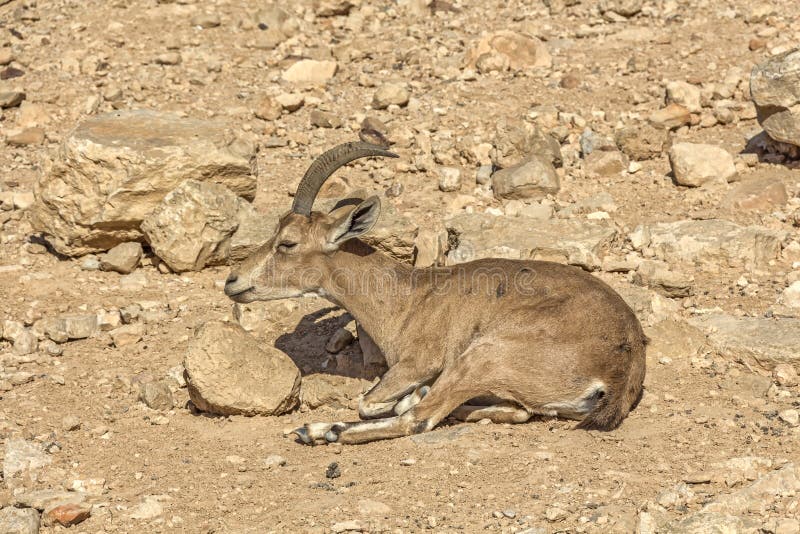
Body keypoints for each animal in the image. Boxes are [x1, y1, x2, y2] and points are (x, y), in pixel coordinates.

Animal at [224, 142, 647, 445]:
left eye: (288, 243)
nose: (232, 281)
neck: (408, 298)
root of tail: (623, 366)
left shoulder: (419, 362)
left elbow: (370, 402)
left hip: (482, 356)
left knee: (418, 419)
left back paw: (320, 430)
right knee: (517, 410)